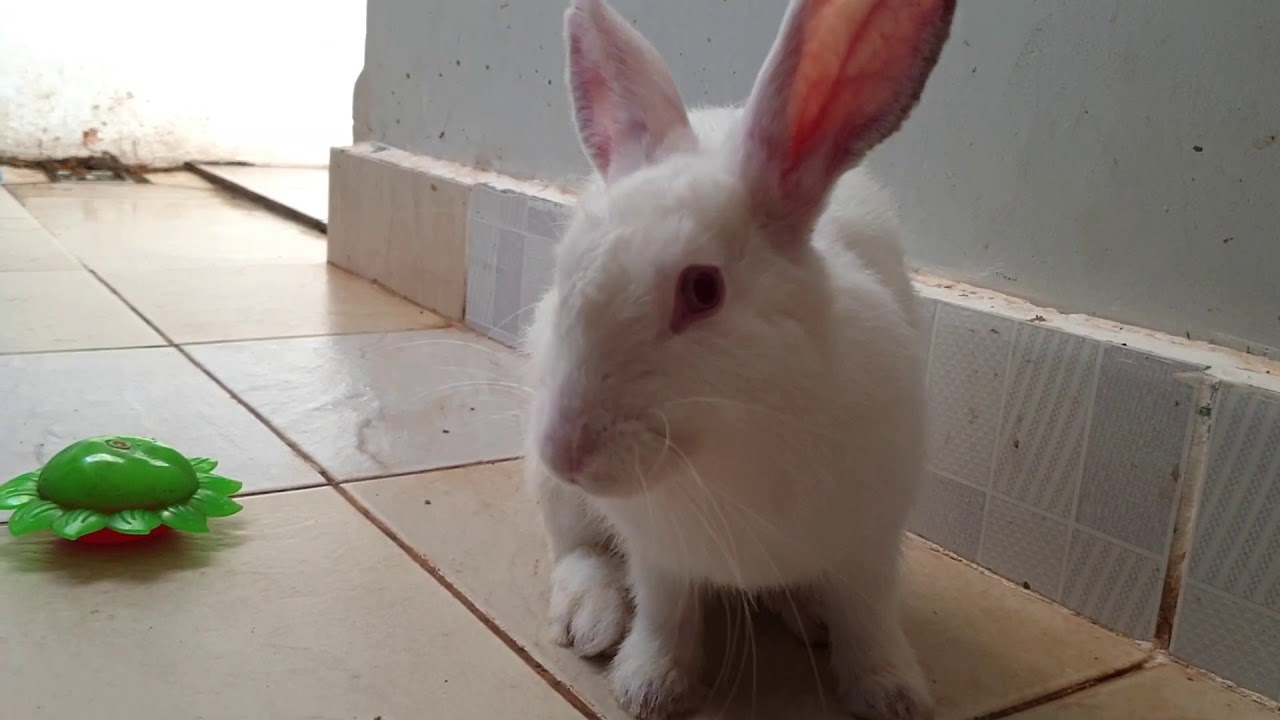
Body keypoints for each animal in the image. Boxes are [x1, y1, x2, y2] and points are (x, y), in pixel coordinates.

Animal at [522, 0, 956, 717]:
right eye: (563, 273)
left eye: (703, 290)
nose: (564, 452)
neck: (737, 440)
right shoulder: (658, 553)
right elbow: (665, 614)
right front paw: (649, 688)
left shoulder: (871, 542)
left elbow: (870, 619)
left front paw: (892, 695)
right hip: (558, 502)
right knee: (575, 552)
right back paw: (593, 622)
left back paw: (809, 614)